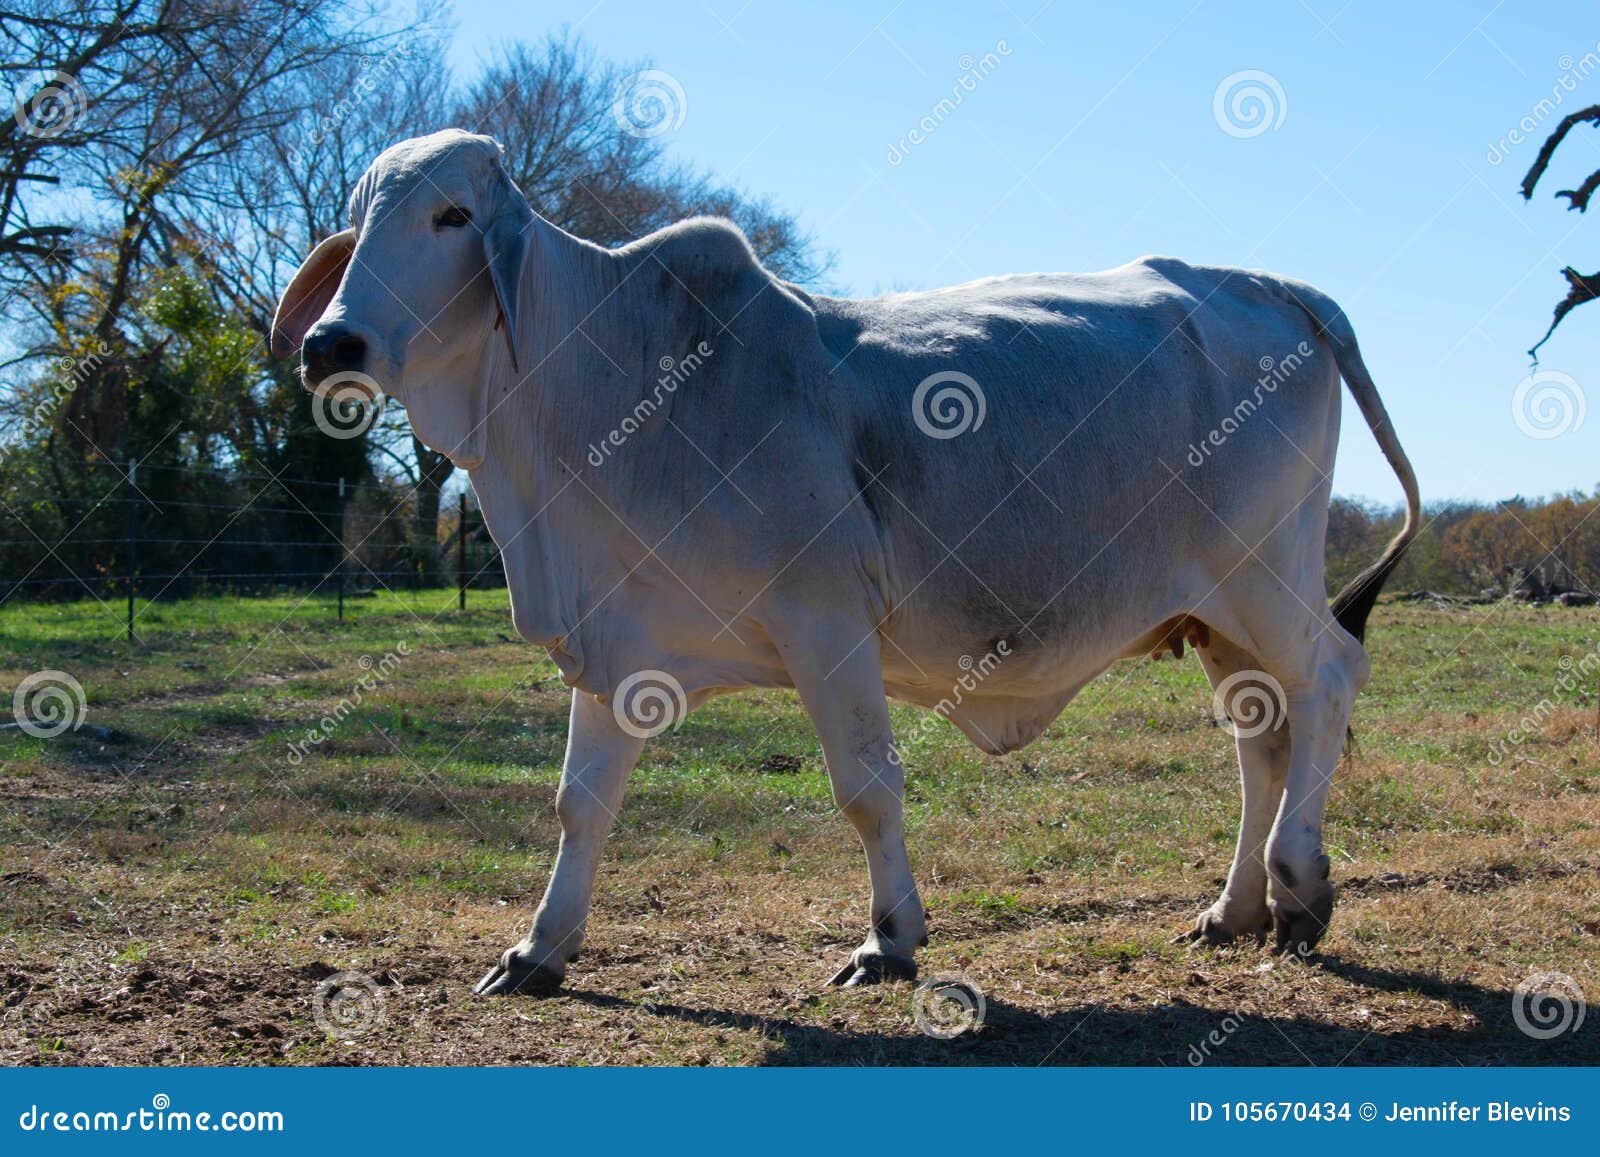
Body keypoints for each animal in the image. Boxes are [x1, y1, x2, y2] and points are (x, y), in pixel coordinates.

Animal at [272, 130, 1420, 995]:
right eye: (360, 219)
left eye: (451, 218)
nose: (332, 344)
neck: (604, 391)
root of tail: (1269, 284)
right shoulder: (618, 641)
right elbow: (578, 803)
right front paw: (539, 947)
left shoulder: (823, 625)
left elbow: (866, 787)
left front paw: (889, 938)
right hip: (1218, 615)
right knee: (1262, 734)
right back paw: (1237, 907)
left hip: (1264, 580)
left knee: (1329, 677)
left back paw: (1301, 884)